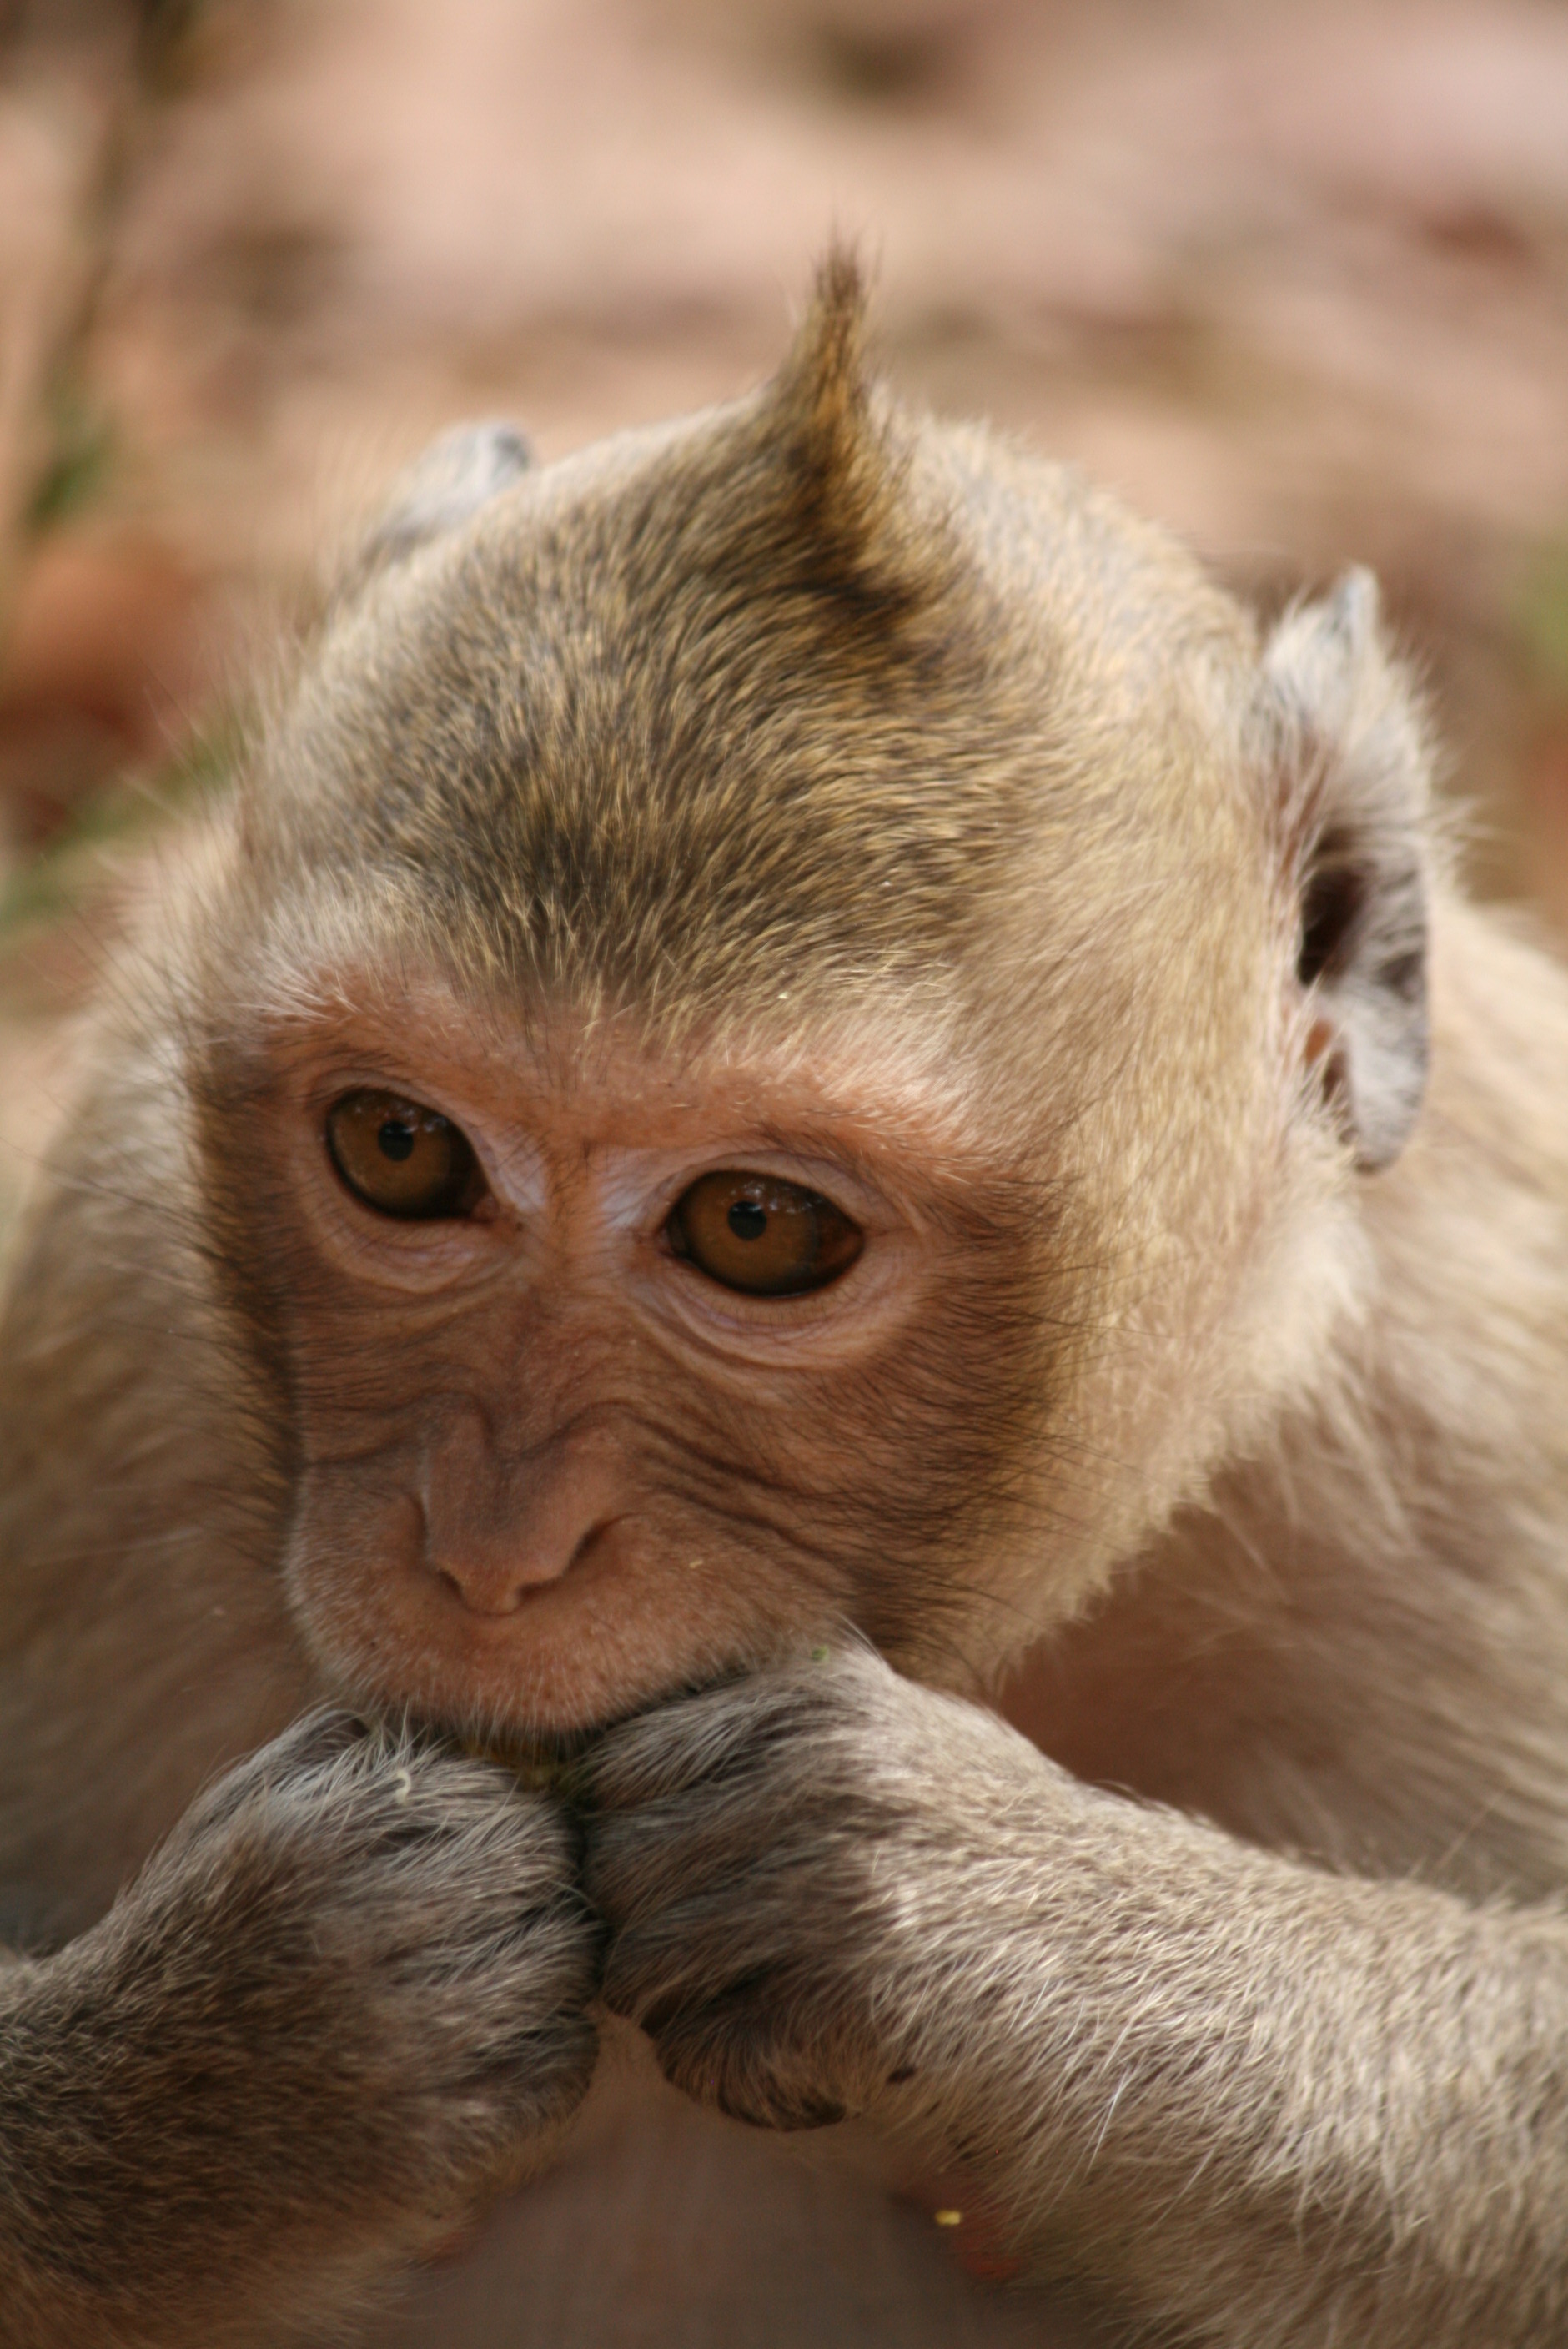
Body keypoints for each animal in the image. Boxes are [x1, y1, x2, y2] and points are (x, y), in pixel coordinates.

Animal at [1, 244, 1567, 2349]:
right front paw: (264, 2036)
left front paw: (954, 1907)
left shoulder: (1478, 1384)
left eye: (755, 1227)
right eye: (399, 1149)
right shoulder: (111, 1303)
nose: (488, 1543)